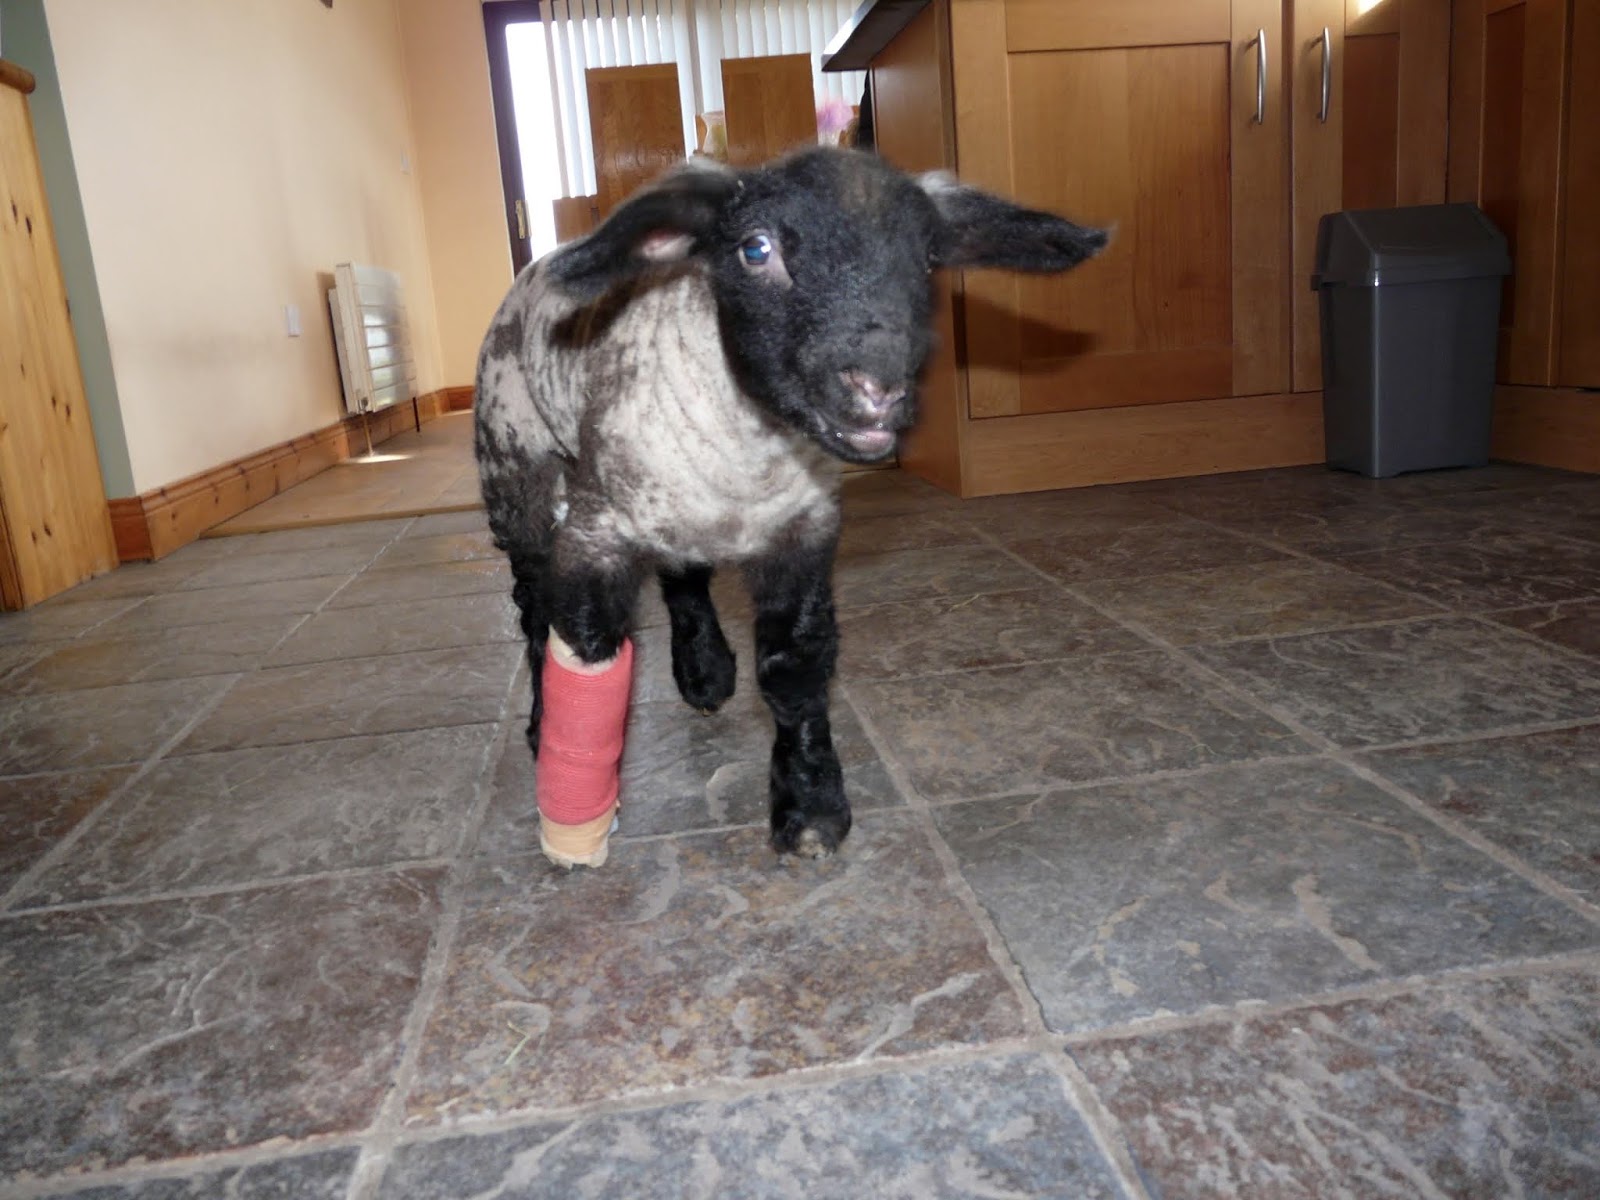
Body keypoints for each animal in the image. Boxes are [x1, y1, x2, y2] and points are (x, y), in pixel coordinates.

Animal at [475, 146, 1106, 860]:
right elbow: (585, 646)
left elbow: (794, 667)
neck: (750, 449)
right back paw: (541, 719)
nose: (879, 386)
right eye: (756, 249)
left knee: (683, 576)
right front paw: (573, 825)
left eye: (926, 258)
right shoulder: (596, 533)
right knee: (533, 610)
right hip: (514, 471)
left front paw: (809, 808)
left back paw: (704, 672)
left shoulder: (802, 535)